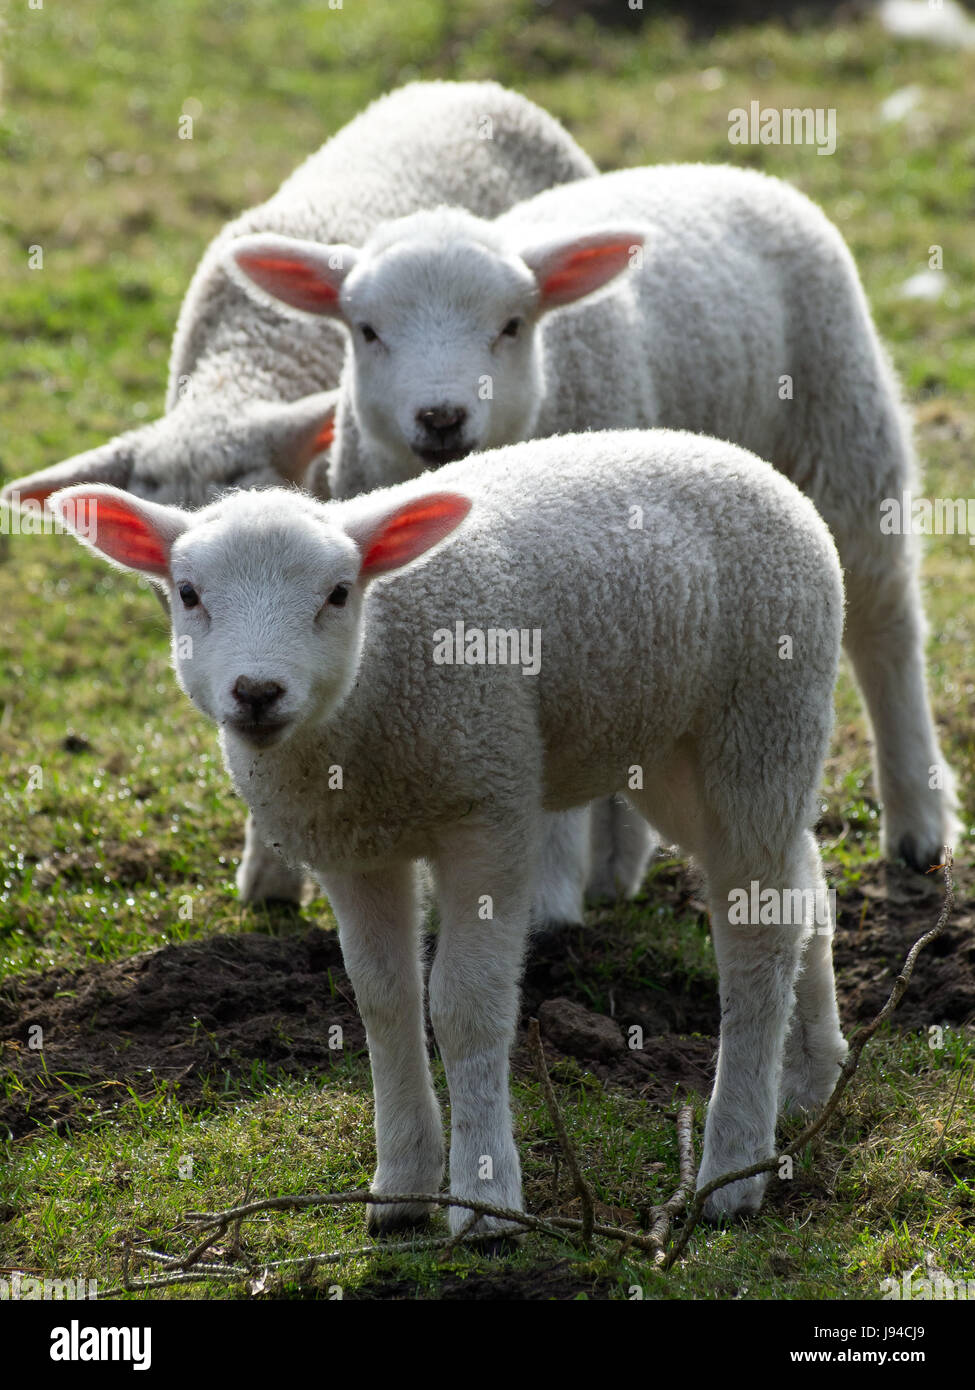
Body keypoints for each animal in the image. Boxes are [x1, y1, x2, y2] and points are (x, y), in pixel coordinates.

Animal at [49, 427, 848, 1229]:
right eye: (187, 594)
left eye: (338, 593)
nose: (257, 692)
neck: (370, 692)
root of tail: (739, 458)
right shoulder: (351, 849)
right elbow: (384, 1001)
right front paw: (401, 1187)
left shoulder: (488, 814)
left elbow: (465, 1003)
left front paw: (486, 1201)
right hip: (671, 756)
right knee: (801, 889)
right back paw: (811, 1077)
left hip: (762, 717)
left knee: (757, 937)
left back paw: (734, 1166)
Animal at [224, 162, 958, 878]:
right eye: (367, 330)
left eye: (512, 325)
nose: (441, 417)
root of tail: (720, 168)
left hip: (842, 431)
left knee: (886, 627)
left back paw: (916, 819)